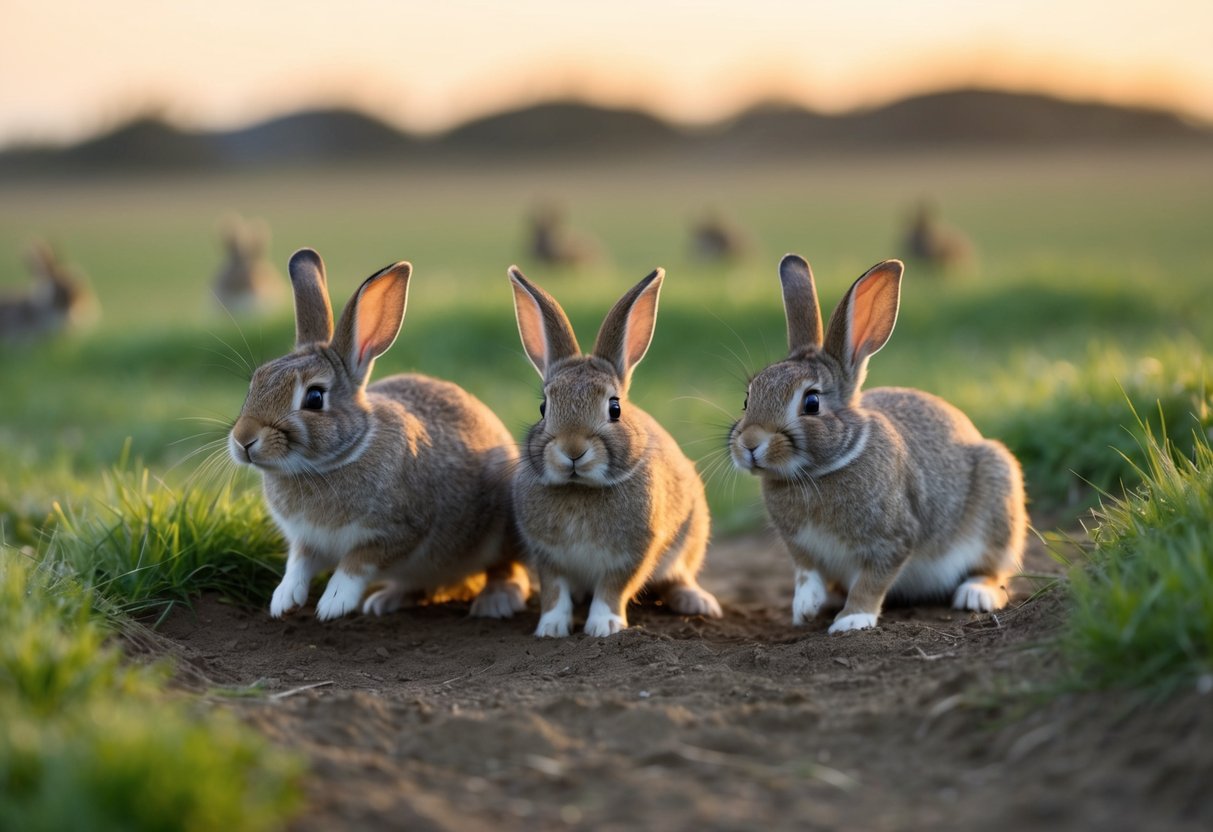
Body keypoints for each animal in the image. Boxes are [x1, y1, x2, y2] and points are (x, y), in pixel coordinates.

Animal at [228, 248, 529, 621]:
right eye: (255, 382)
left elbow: (357, 563)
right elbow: (297, 564)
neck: (336, 459)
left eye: (314, 398)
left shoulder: (398, 532)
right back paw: (387, 600)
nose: (243, 440)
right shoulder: (306, 540)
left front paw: (333, 604)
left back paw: (496, 600)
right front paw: (283, 600)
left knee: (506, 567)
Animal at [508, 264, 722, 637]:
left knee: (677, 579)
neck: (580, 489)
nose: (573, 449)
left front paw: (604, 626)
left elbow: (613, 588)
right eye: (543, 408)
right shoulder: (547, 557)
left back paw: (698, 602)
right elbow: (554, 591)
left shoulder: (633, 554)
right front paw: (551, 627)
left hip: (692, 535)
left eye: (615, 408)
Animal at [728, 254, 1026, 633]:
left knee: (994, 567)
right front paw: (804, 609)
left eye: (811, 403)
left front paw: (852, 620)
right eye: (747, 399)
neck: (820, 471)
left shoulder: (891, 539)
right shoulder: (801, 548)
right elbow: (806, 575)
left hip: (998, 502)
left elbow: (871, 581)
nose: (750, 444)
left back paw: (976, 594)